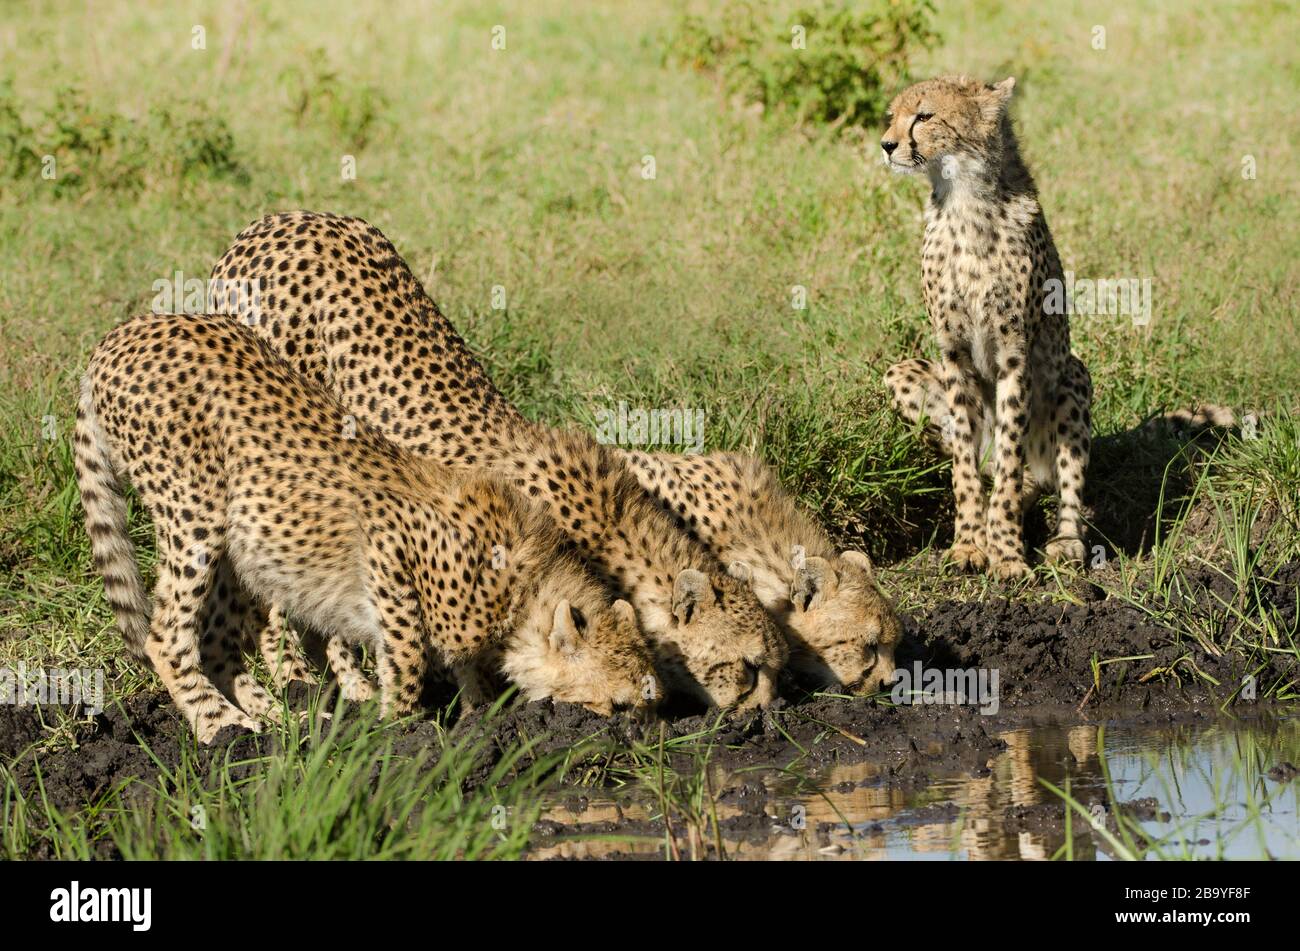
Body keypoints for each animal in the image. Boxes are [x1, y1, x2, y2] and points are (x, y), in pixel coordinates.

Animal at [75, 312, 655, 743]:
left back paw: (285, 718)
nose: (633, 738)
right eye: (618, 703)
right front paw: (401, 730)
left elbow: (463, 667)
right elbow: (409, 652)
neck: (523, 588)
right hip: (194, 514)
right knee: (167, 634)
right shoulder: (390, 544)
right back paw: (222, 726)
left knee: (217, 640)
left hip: (237, 550)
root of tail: (123, 333)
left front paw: (476, 716)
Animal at [879, 75, 1092, 580]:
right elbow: (964, 462)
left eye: (924, 116)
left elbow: (1011, 458)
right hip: (899, 372)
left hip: (1073, 377)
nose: (886, 145)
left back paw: (1066, 541)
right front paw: (969, 544)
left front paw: (1008, 553)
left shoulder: (1016, 356)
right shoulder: (953, 355)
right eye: (892, 117)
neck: (964, 199)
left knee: (1056, 481)